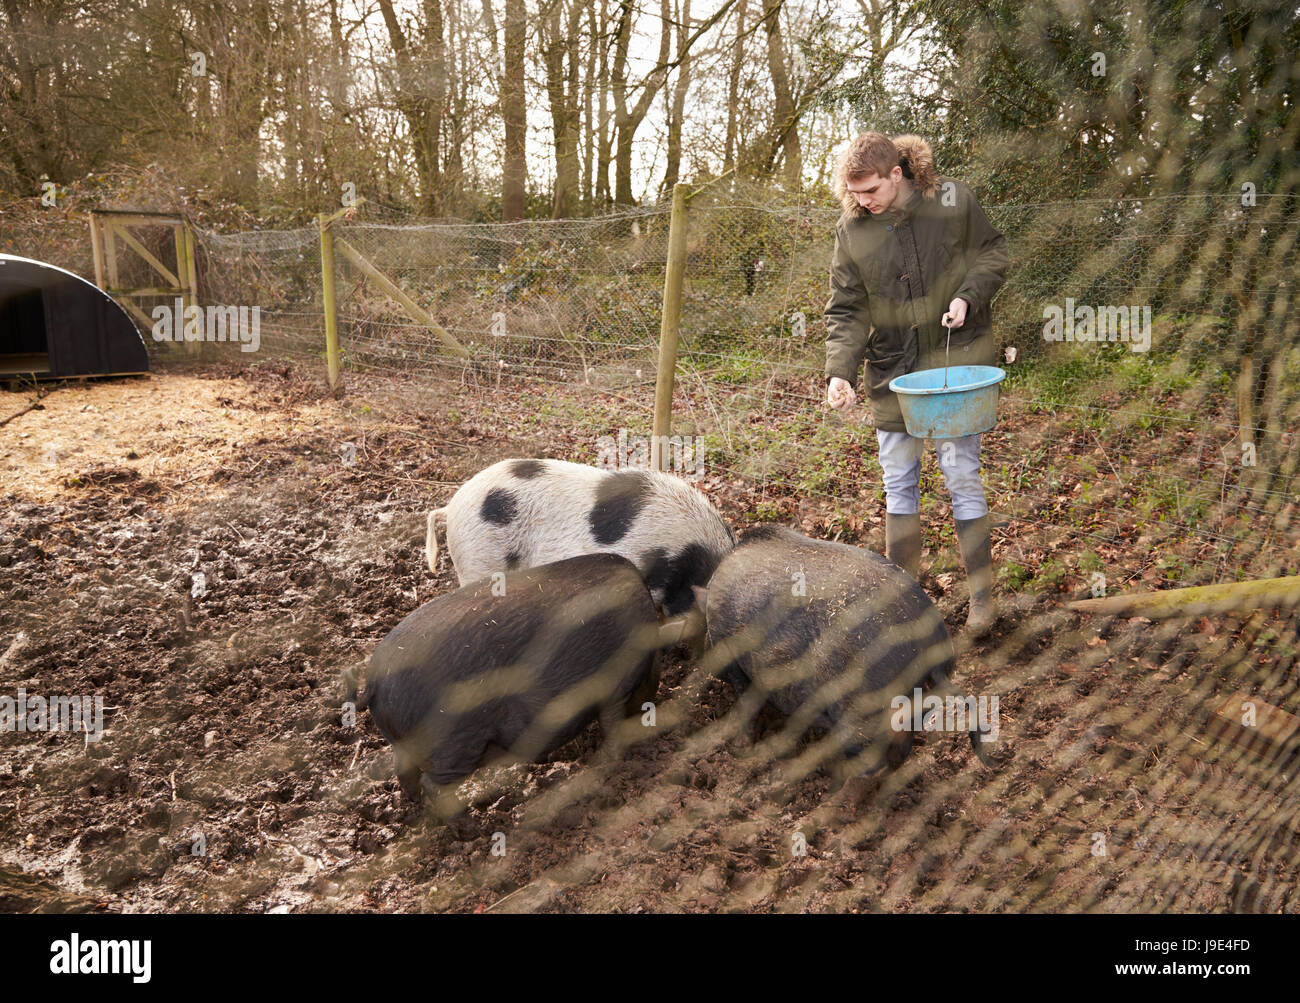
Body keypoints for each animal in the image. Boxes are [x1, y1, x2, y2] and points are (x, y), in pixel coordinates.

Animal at [353, 553, 703, 805]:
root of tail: (374, 683)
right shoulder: (612, 687)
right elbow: (612, 727)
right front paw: (613, 761)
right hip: (450, 743)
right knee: (433, 784)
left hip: (406, 744)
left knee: (404, 774)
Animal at [698, 525, 998, 775]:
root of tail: (926, 648)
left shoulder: (732, 655)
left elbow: (745, 702)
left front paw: (740, 748)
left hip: (858, 706)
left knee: (874, 751)